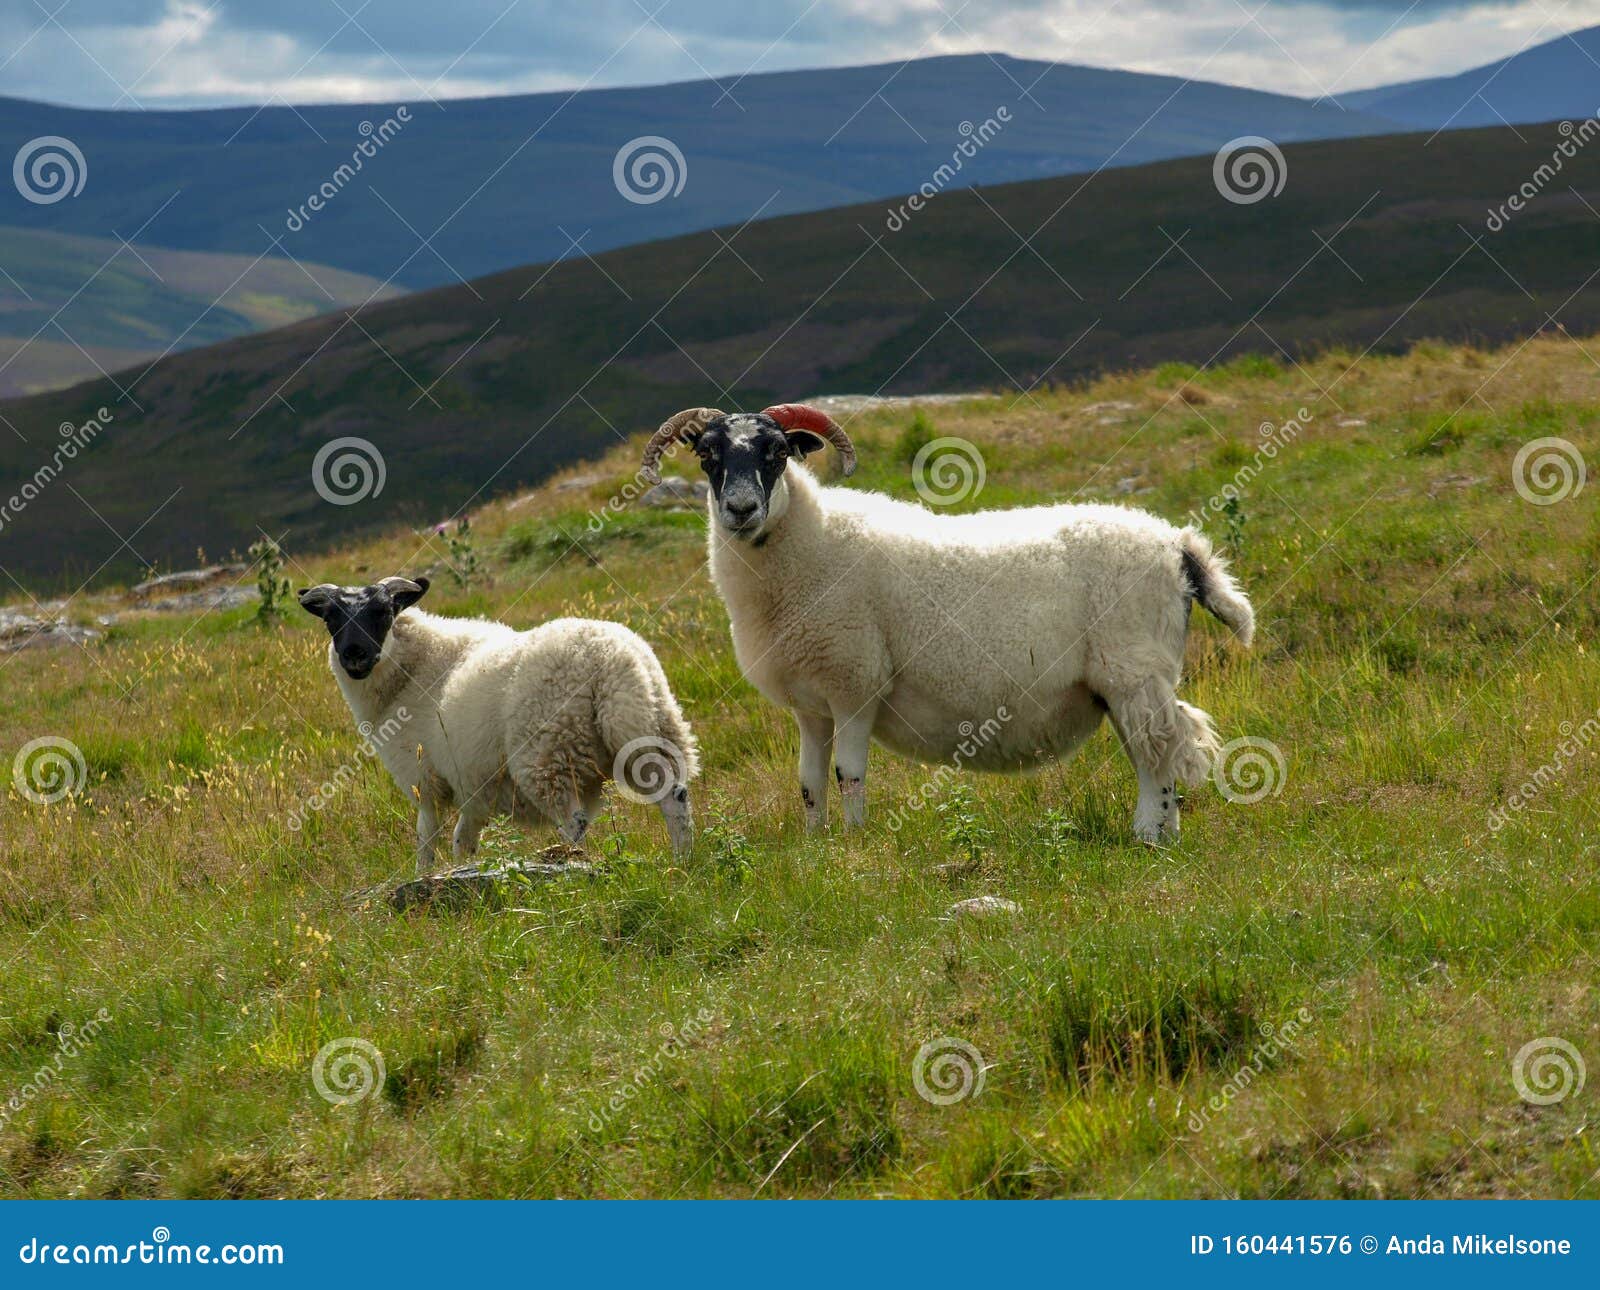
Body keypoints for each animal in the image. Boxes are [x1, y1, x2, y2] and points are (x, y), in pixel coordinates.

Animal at [297, 576, 698, 872]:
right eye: (331, 618)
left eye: (383, 612)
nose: (354, 655)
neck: (412, 667)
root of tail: (611, 660)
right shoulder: (472, 784)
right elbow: (463, 839)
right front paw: (459, 870)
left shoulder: (424, 777)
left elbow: (427, 837)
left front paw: (424, 878)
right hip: (650, 730)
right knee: (674, 795)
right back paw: (682, 862)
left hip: (546, 753)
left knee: (575, 822)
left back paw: (571, 867)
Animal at [639, 404, 1254, 843]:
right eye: (708, 455)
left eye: (776, 453)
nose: (741, 510)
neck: (809, 546)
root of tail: (1177, 546)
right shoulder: (811, 704)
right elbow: (810, 785)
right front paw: (817, 846)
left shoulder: (856, 683)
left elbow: (849, 775)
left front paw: (855, 843)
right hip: (1117, 682)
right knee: (1154, 749)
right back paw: (1159, 835)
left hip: (1133, 669)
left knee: (1166, 749)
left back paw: (1150, 835)